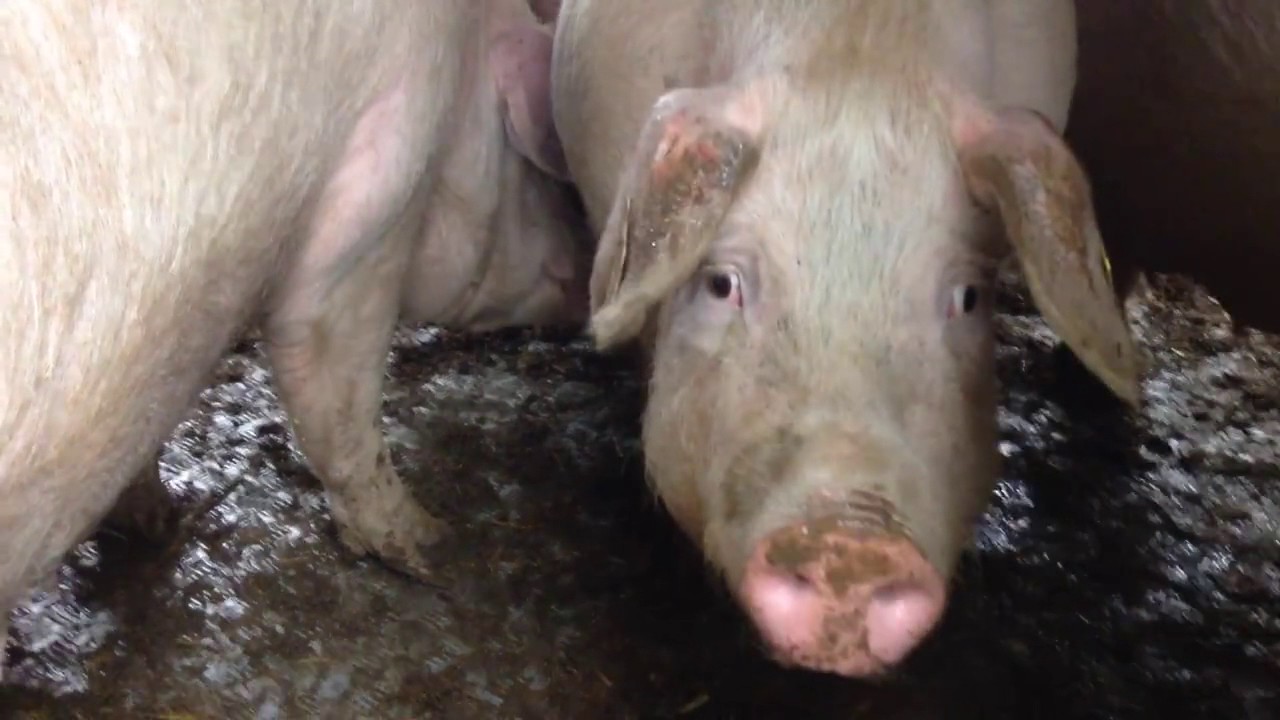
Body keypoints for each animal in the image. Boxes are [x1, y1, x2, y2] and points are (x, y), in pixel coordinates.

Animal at [0, 0, 588, 677]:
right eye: (543, 173)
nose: (590, 279)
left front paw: (157, 518)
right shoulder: (379, 194)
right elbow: (339, 394)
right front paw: (434, 543)